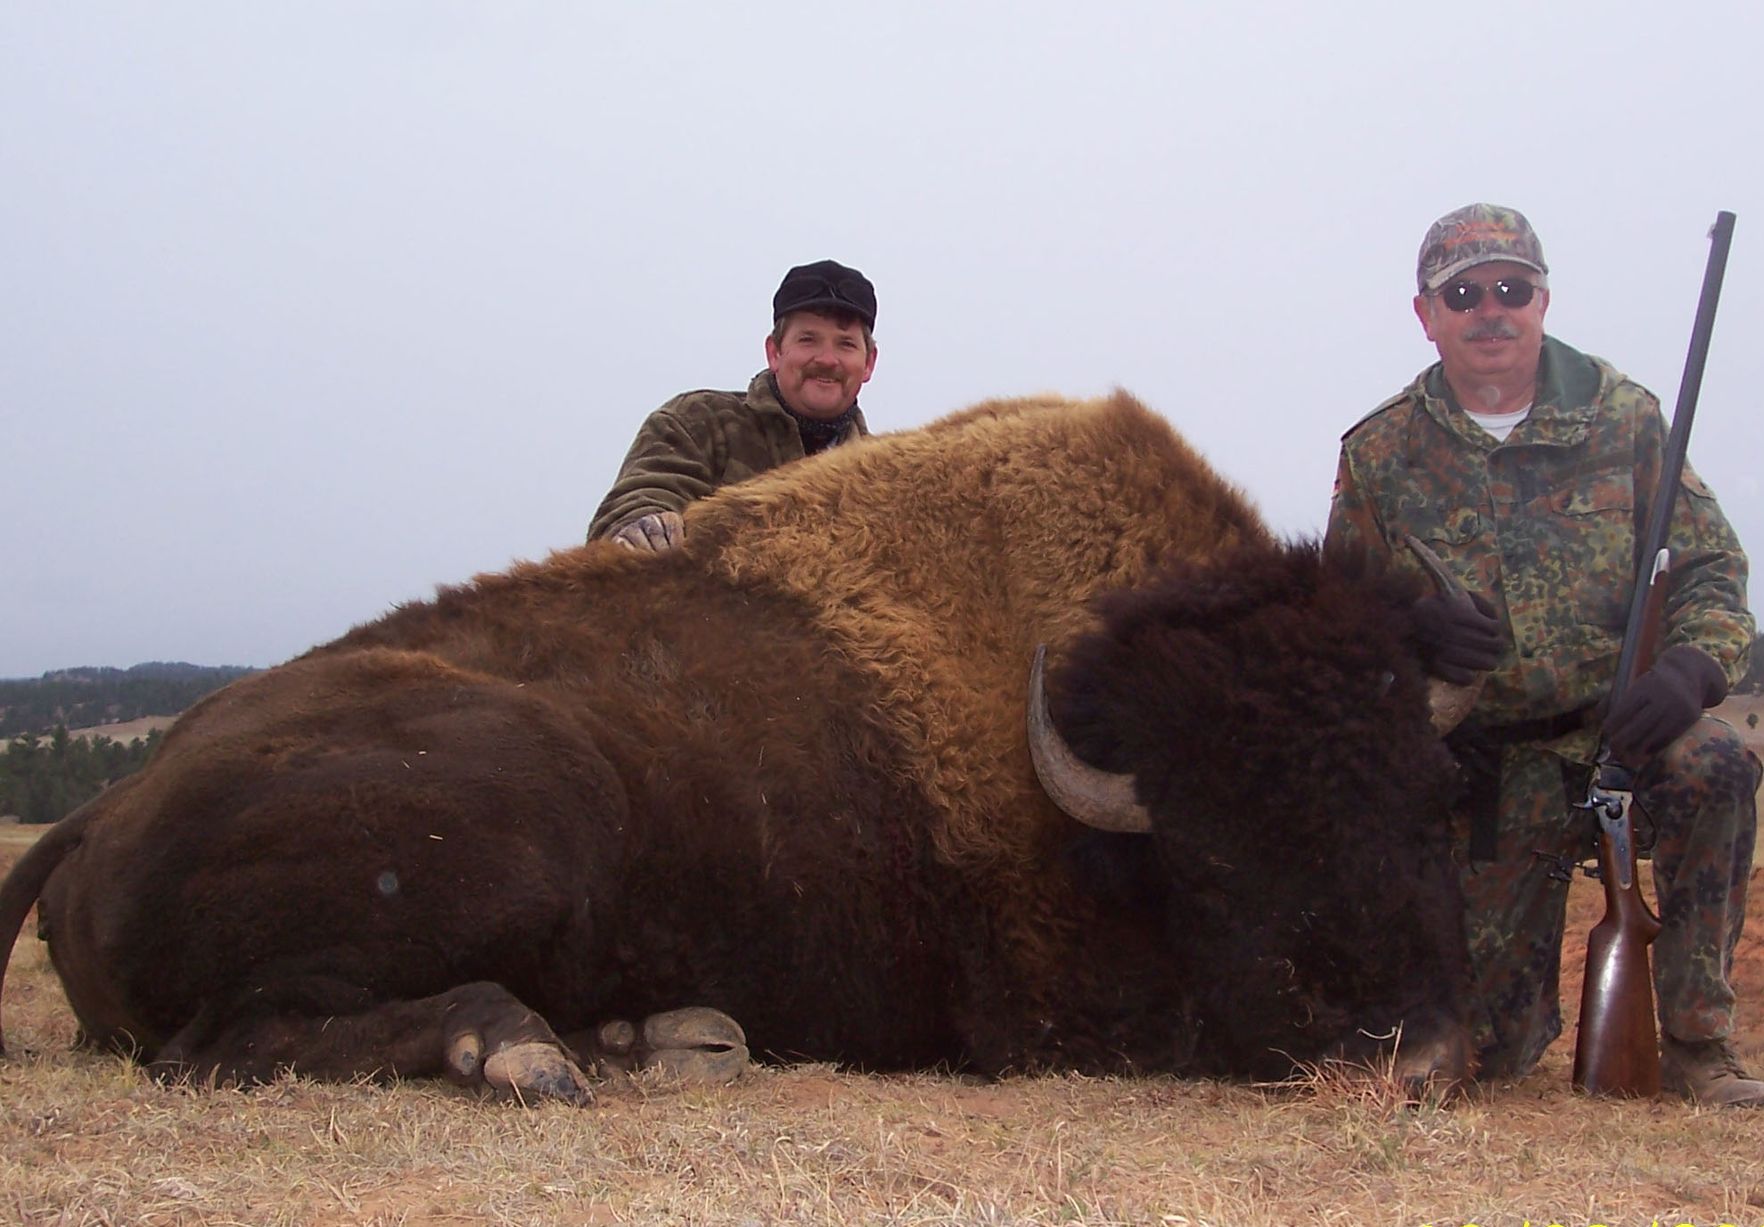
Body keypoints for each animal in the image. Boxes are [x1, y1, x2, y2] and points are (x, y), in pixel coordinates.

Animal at [0, 392, 1476, 1102]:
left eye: (1423, 813)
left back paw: (656, 1035)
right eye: (1216, 859)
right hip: (537, 809)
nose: (1420, 1052)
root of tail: (101, 808)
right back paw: (537, 1051)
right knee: (232, 1041)